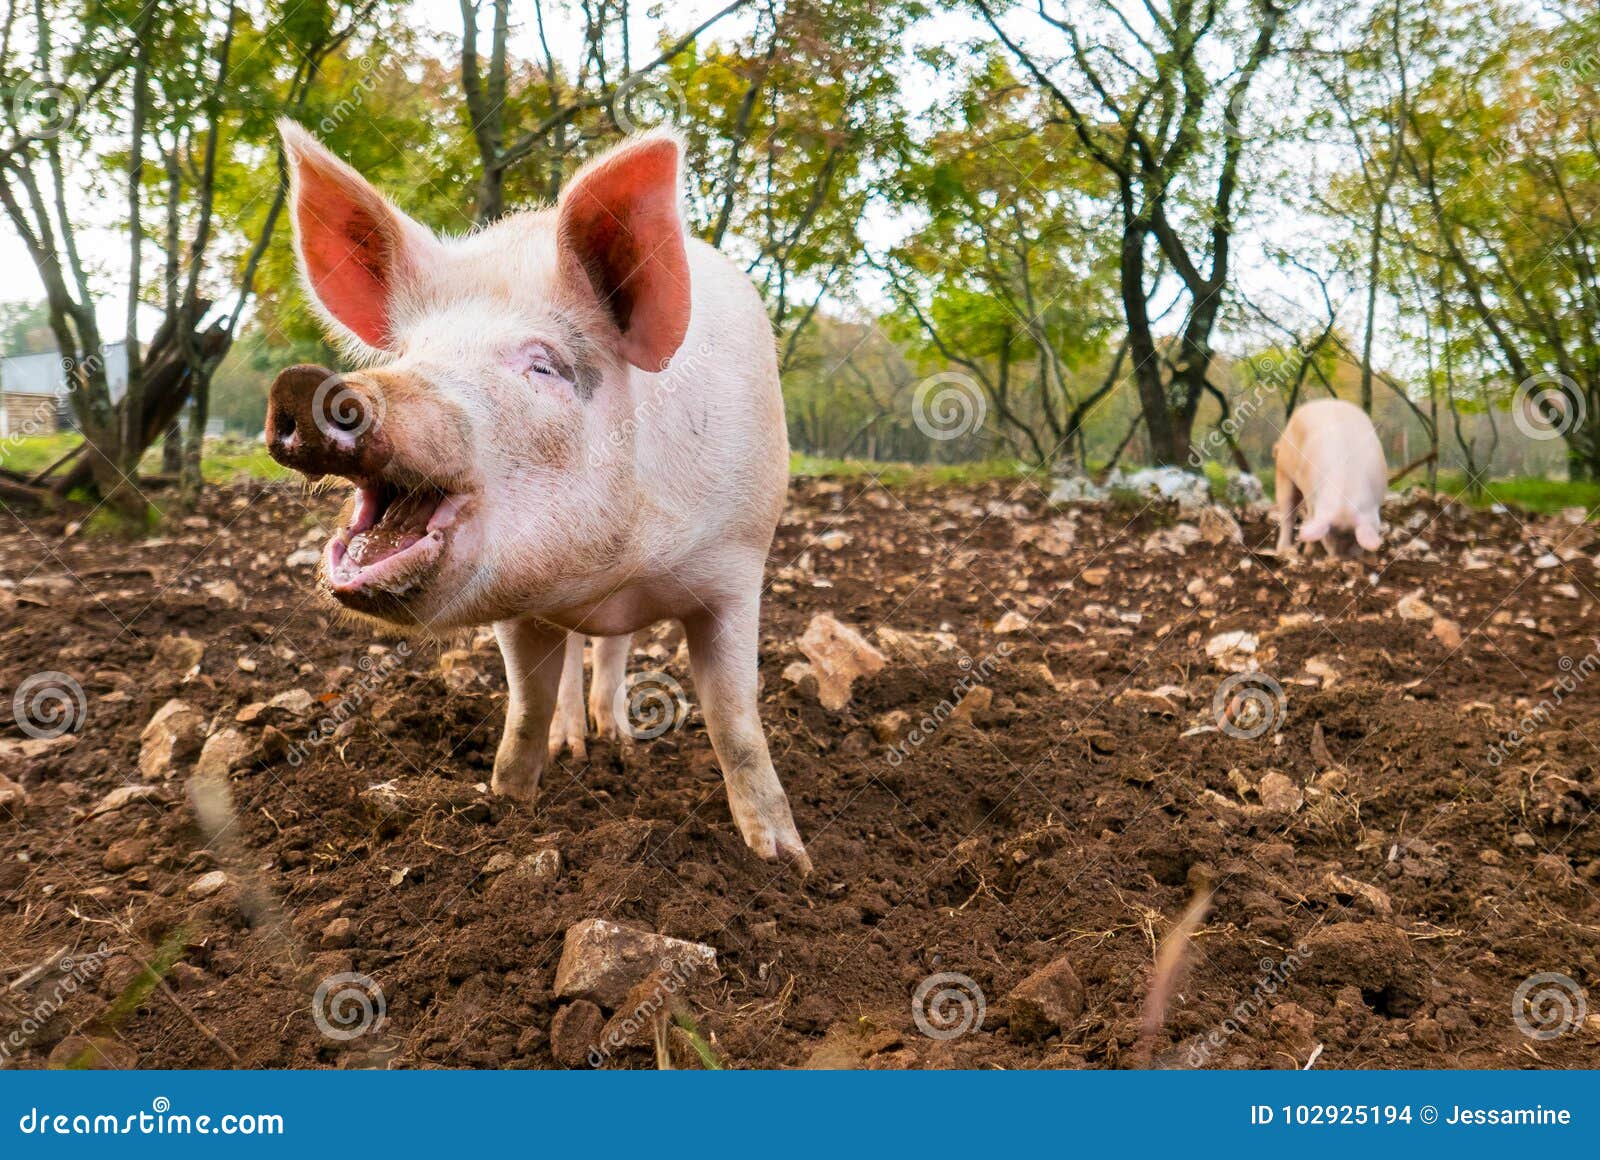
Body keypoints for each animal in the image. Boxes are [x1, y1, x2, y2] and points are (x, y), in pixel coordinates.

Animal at [263, 122, 810, 872]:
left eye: (543, 365)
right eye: (409, 353)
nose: (305, 385)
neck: (614, 570)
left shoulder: (737, 565)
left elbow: (735, 718)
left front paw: (787, 862)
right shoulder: (520, 609)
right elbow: (526, 707)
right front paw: (508, 805)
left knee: (615, 650)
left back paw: (617, 737)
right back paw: (575, 743)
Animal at [1273, 398, 1387, 559]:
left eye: (1354, 538)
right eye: (1329, 535)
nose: (1341, 559)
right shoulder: (1311, 495)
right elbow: (1310, 517)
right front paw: (1310, 553)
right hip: (1283, 470)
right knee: (1287, 513)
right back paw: (1286, 551)